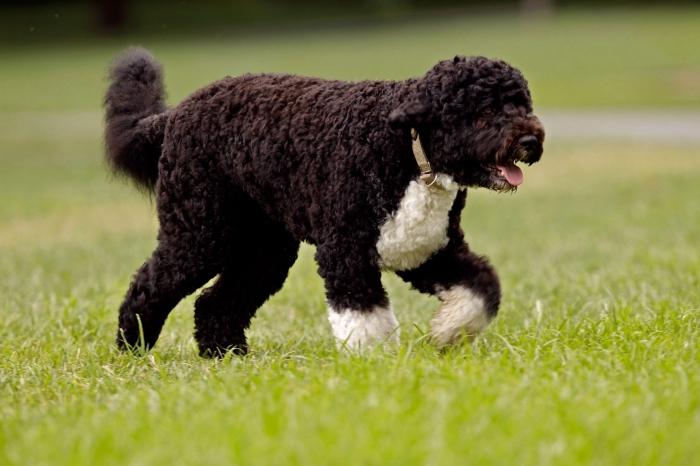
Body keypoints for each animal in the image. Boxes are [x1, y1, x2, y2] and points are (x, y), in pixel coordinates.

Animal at [104, 47, 544, 356]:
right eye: (485, 111)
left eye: (522, 103)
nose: (530, 140)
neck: (406, 150)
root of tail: (173, 115)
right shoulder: (345, 252)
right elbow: (365, 317)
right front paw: (376, 365)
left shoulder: (429, 250)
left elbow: (481, 289)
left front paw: (447, 332)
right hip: (200, 234)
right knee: (149, 286)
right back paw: (132, 347)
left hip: (264, 250)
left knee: (216, 303)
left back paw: (227, 356)